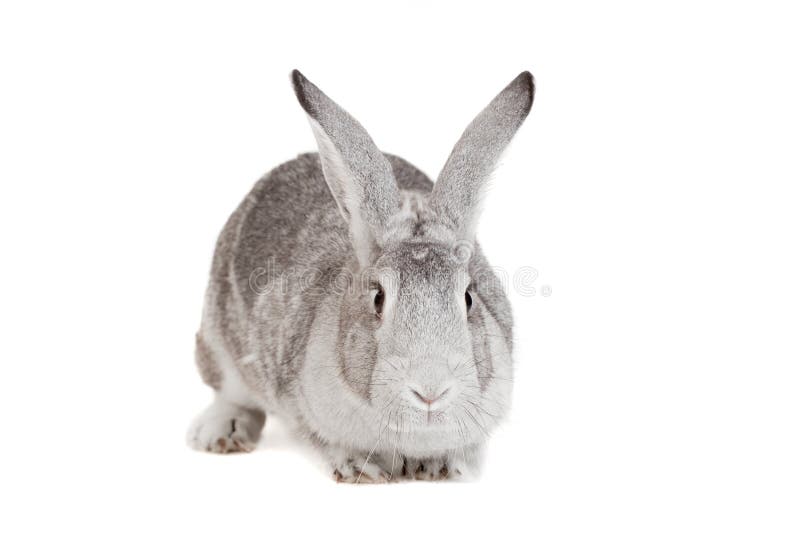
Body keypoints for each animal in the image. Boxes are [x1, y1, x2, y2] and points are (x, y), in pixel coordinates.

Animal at [187, 69, 535, 482]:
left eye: (468, 298)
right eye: (378, 298)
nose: (430, 391)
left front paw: (443, 468)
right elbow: (326, 442)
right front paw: (362, 471)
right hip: (217, 340)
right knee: (229, 393)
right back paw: (221, 433)